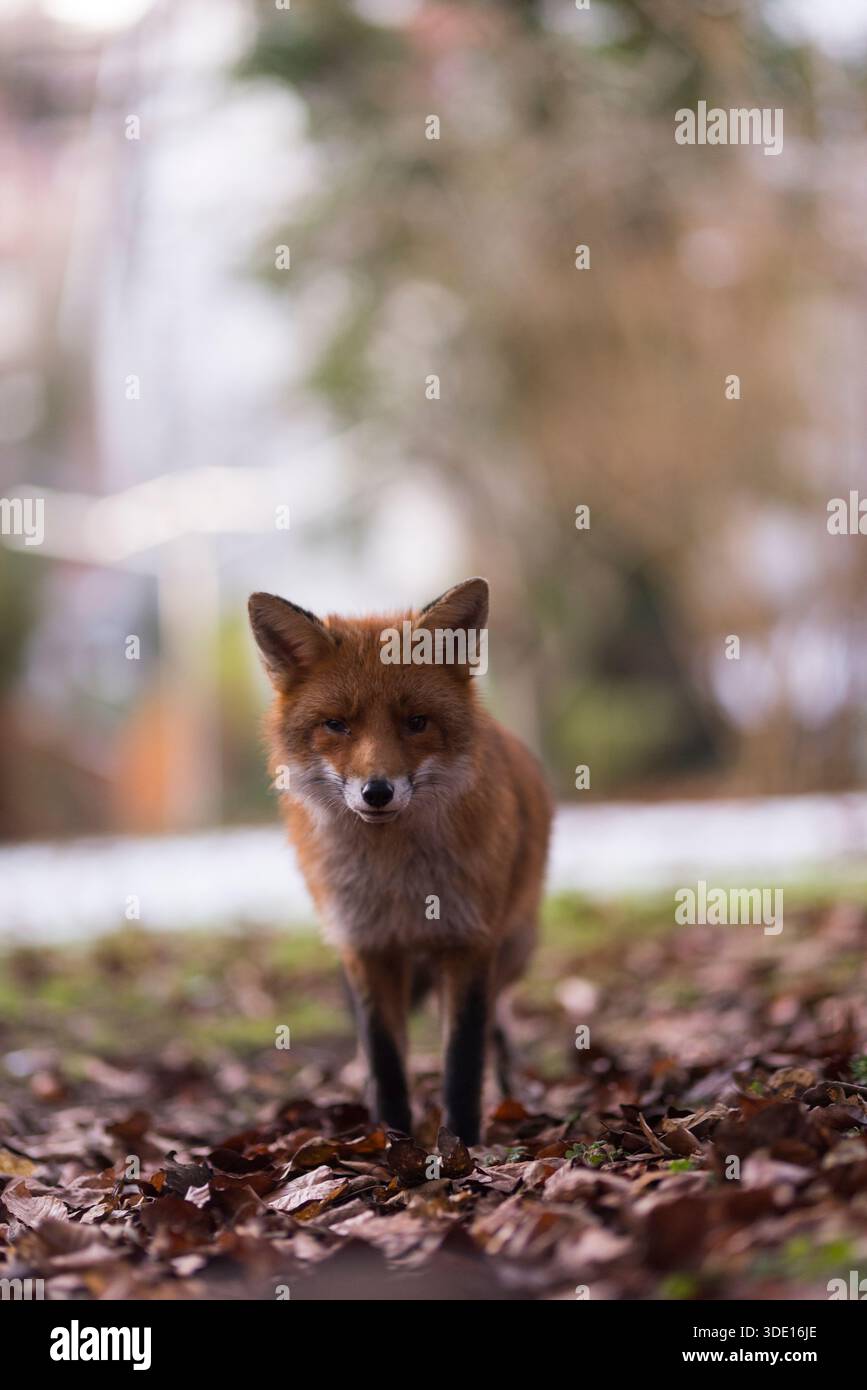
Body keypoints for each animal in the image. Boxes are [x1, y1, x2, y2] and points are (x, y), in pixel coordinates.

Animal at [247, 577, 552, 1144]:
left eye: (416, 722)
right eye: (336, 725)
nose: (377, 792)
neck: (398, 881)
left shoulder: (469, 942)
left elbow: (462, 1062)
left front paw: (462, 1145)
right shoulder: (366, 948)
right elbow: (385, 1059)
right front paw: (390, 1140)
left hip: (514, 947)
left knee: (497, 1022)